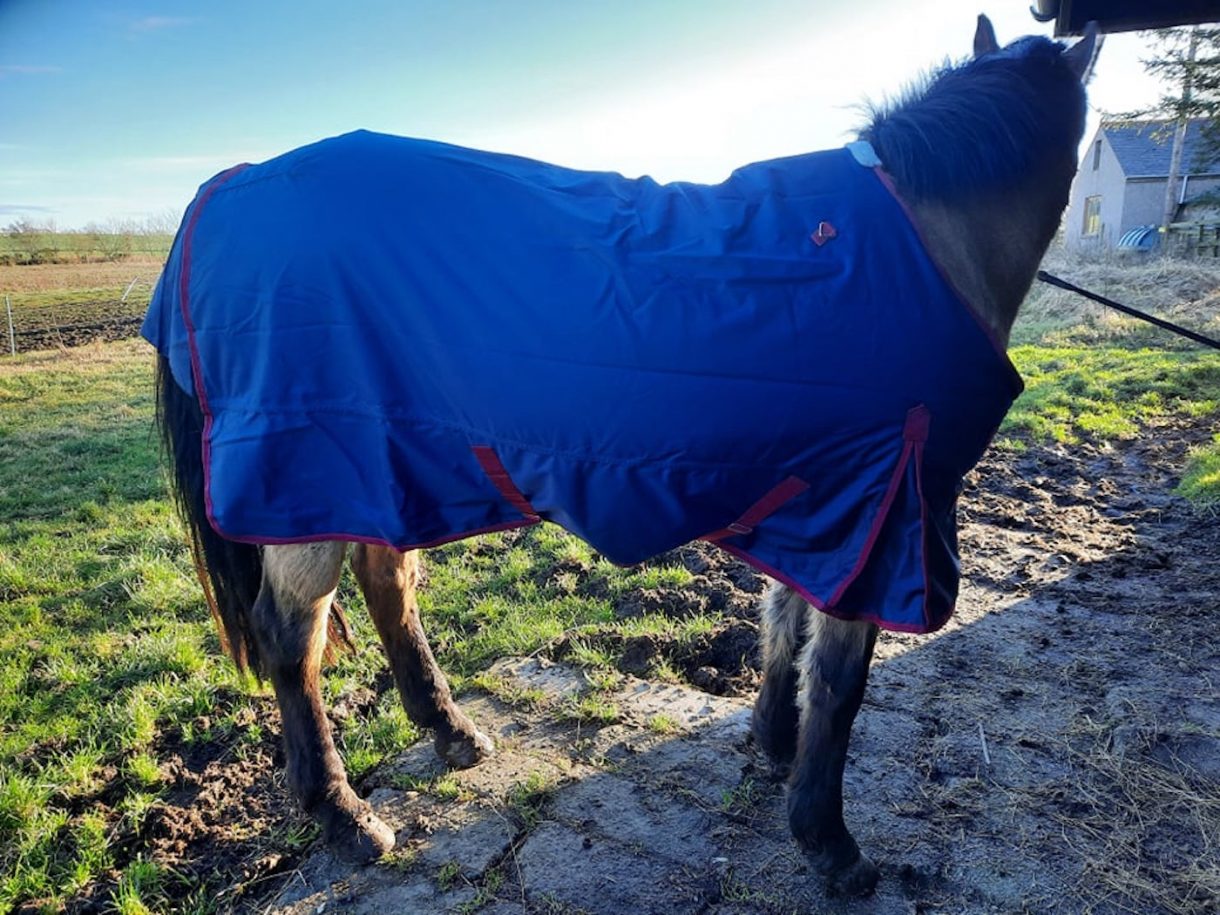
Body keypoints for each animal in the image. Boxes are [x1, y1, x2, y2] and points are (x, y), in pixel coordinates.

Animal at [147, 15, 1098, 898]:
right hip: (308, 470)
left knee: (388, 586)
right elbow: (839, 684)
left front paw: (772, 743)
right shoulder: (883, 515)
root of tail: (228, 188)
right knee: (292, 639)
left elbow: (782, 625)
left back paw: (451, 731)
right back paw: (343, 814)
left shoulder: (824, 506)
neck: (923, 244)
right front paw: (830, 843)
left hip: (377, 464)